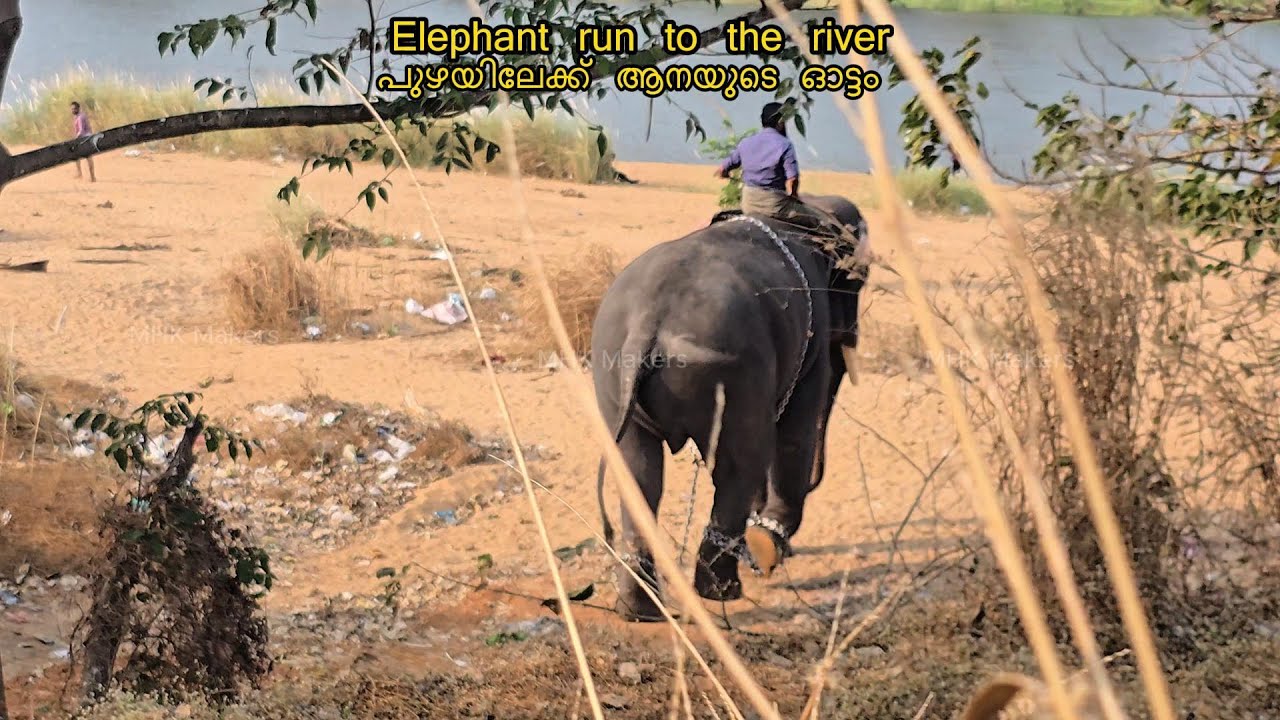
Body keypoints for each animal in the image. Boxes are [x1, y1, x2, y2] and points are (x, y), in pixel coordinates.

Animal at [591, 194, 869, 621]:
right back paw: (723, 591)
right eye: (860, 278)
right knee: (740, 461)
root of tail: (647, 322)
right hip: (730, 369)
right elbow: (794, 431)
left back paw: (641, 610)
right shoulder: (813, 331)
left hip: (611, 367)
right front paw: (769, 543)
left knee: (639, 472)